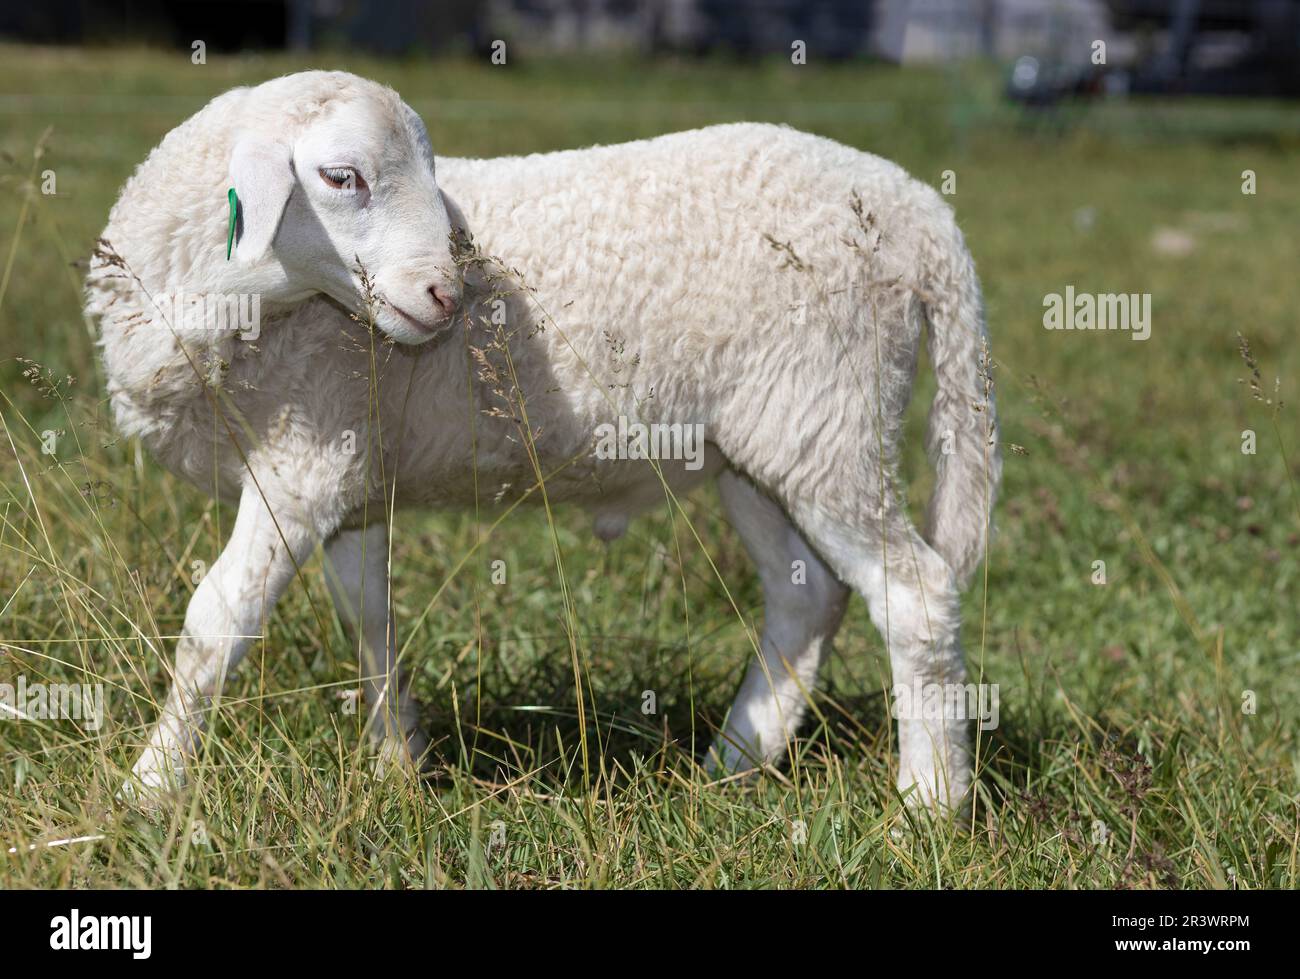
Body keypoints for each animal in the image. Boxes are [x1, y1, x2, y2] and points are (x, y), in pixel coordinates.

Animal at [87, 70, 1001, 810]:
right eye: (342, 177)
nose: (448, 294)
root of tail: (921, 213)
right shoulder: (346, 458)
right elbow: (371, 618)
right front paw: (399, 763)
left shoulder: (303, 460)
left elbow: (217, 619)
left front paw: (148, 789)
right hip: (770, 444)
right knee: (807, 595)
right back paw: (733, 762)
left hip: (833, 418)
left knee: (918, 592)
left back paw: (930, 802)